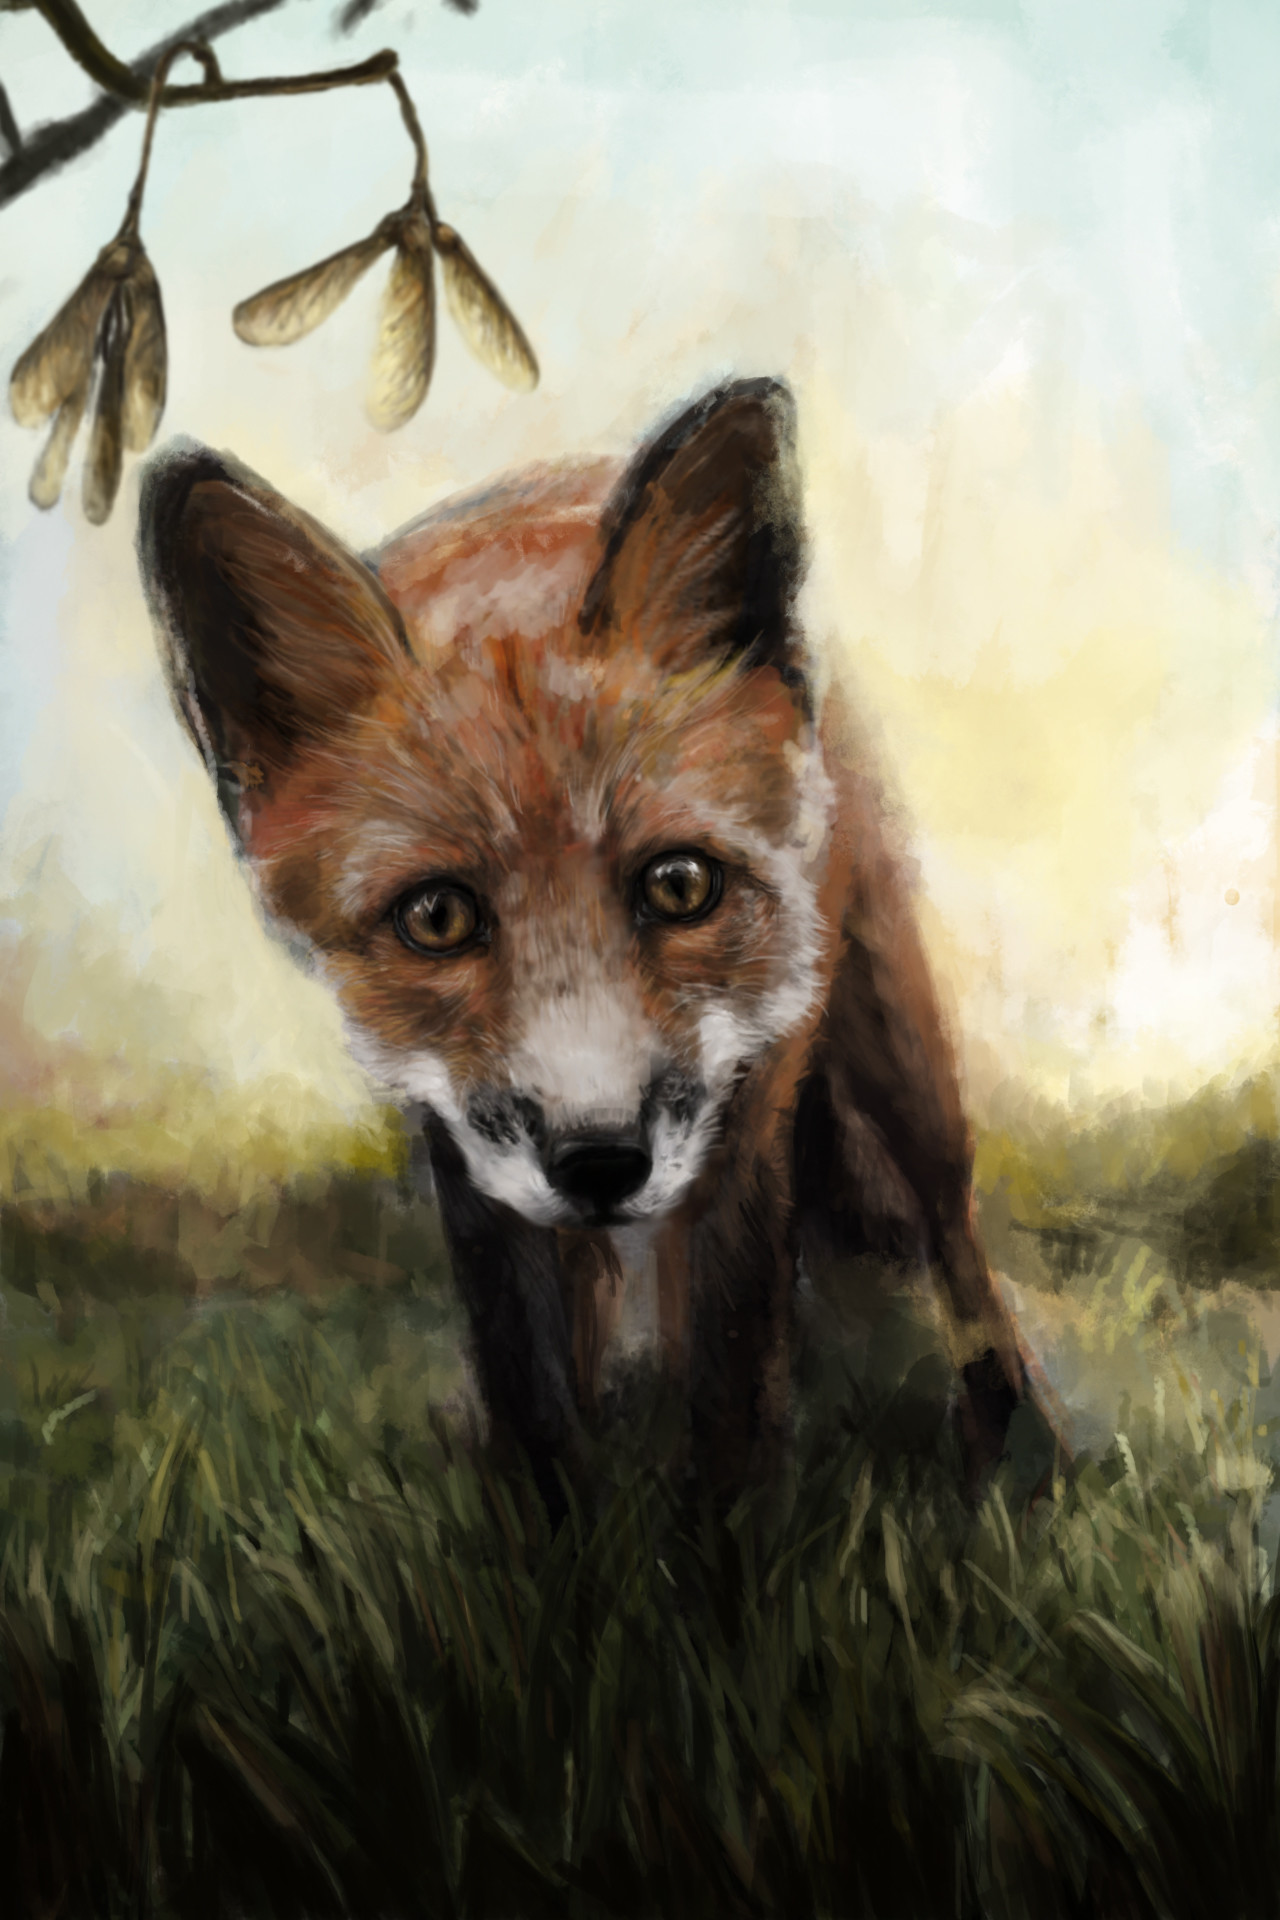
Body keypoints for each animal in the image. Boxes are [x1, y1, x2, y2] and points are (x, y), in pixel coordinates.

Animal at [139, 377, 1032, 1509]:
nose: (601, 1161)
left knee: (954, 1238)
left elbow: (733, 1363)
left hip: (898, 1052)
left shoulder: (747, 1105)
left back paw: (1012, 1437)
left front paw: (727, 1542)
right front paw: (550, 1533)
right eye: (436, 917)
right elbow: (526, 1372)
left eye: (680, 886)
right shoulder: (466, 1148)